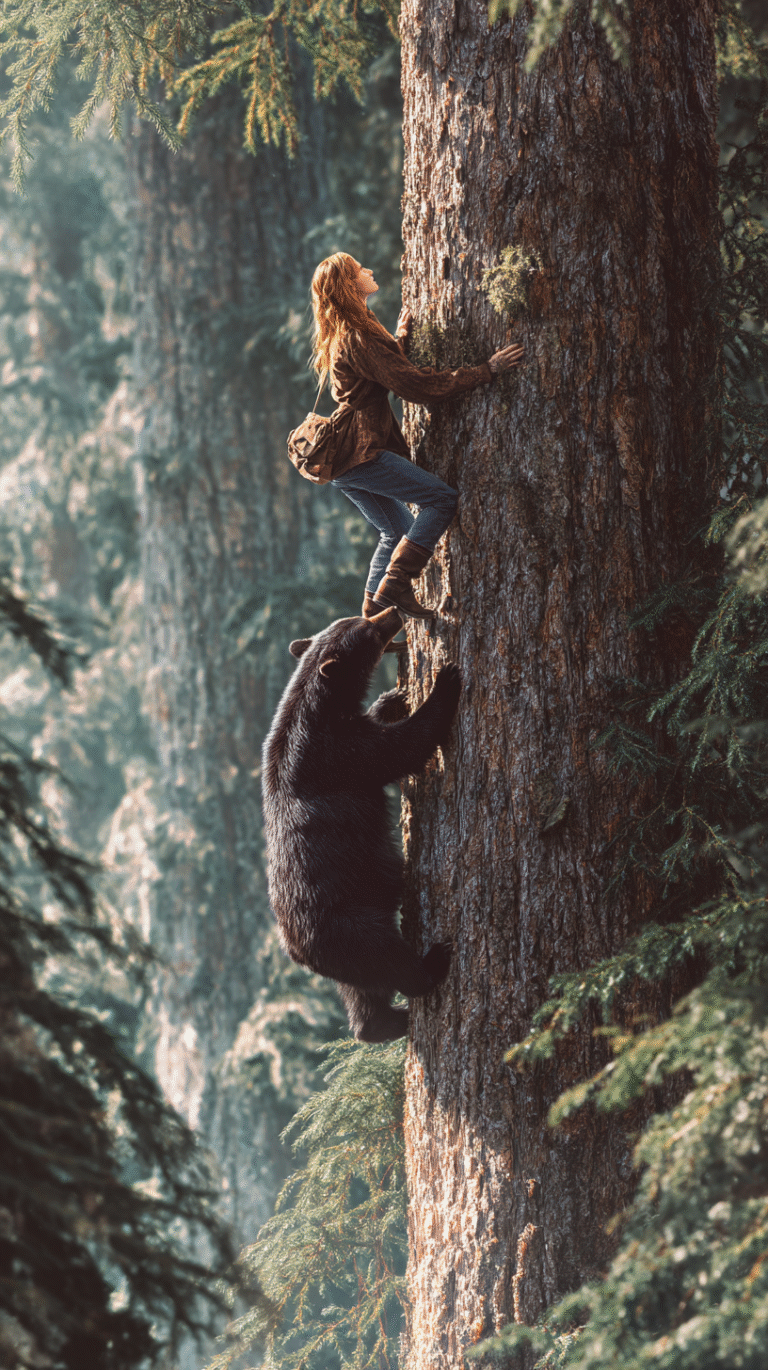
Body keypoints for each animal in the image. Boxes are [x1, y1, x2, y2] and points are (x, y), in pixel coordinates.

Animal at [261, 604, 462, 1042]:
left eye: (355, 620)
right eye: (368, 631)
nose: (390, 613)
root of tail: (297, 952)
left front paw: (391, 699)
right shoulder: (336, 754)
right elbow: (400, 748)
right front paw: (444, 681)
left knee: (363, 992)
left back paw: (382, 1023)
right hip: (352, 926)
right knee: (389, 959)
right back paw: (433, 964)